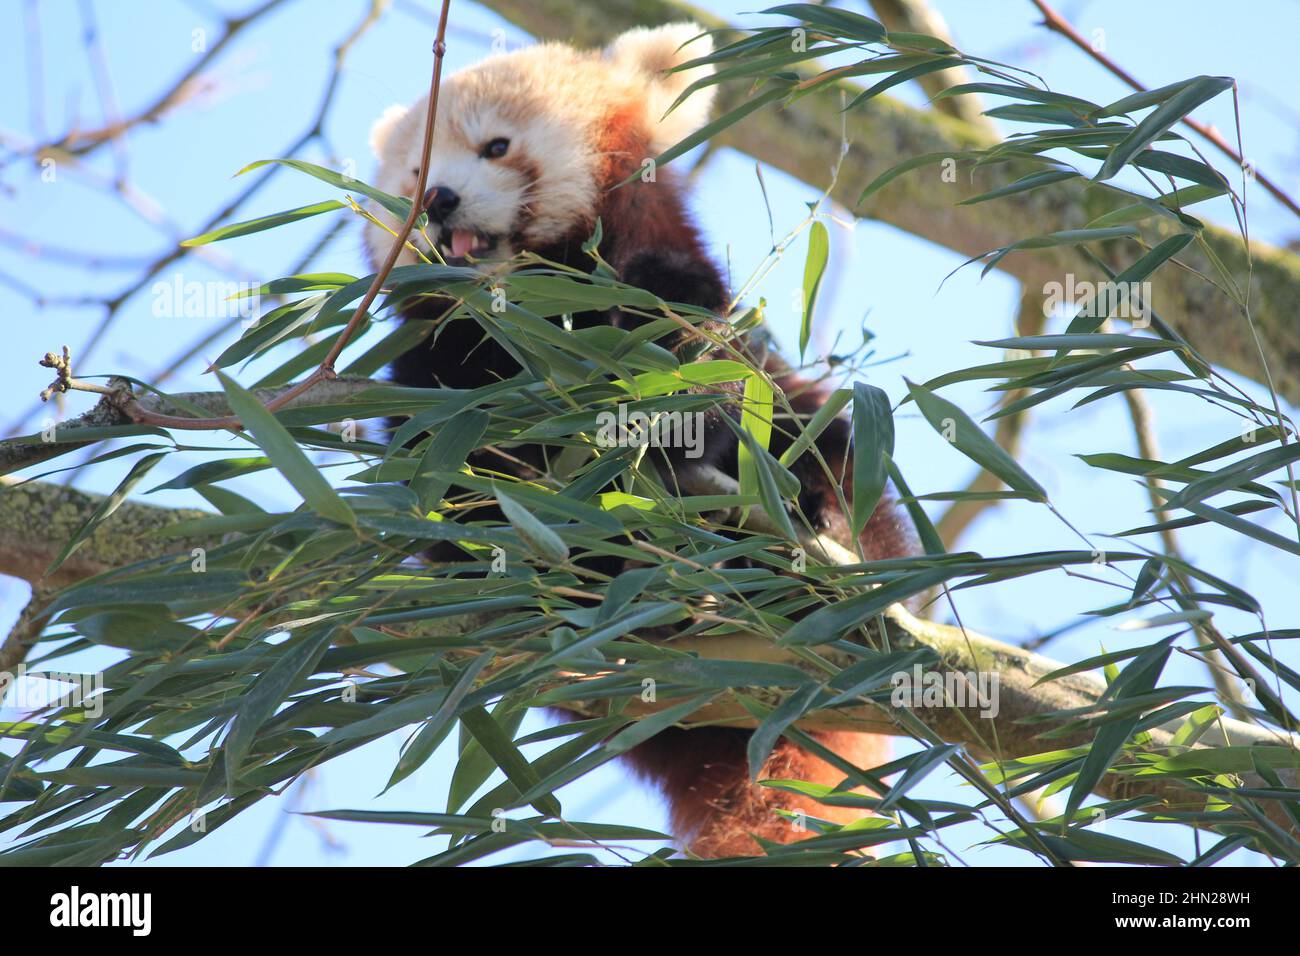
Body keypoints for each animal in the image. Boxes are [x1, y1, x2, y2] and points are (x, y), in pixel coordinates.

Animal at [364, 22, 917, 859]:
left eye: (496, 146)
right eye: (416, 173)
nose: (439, 200)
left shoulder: (674, 291)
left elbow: (699, 352)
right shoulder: (433, 367)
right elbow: (450, 471)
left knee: (838, 462)